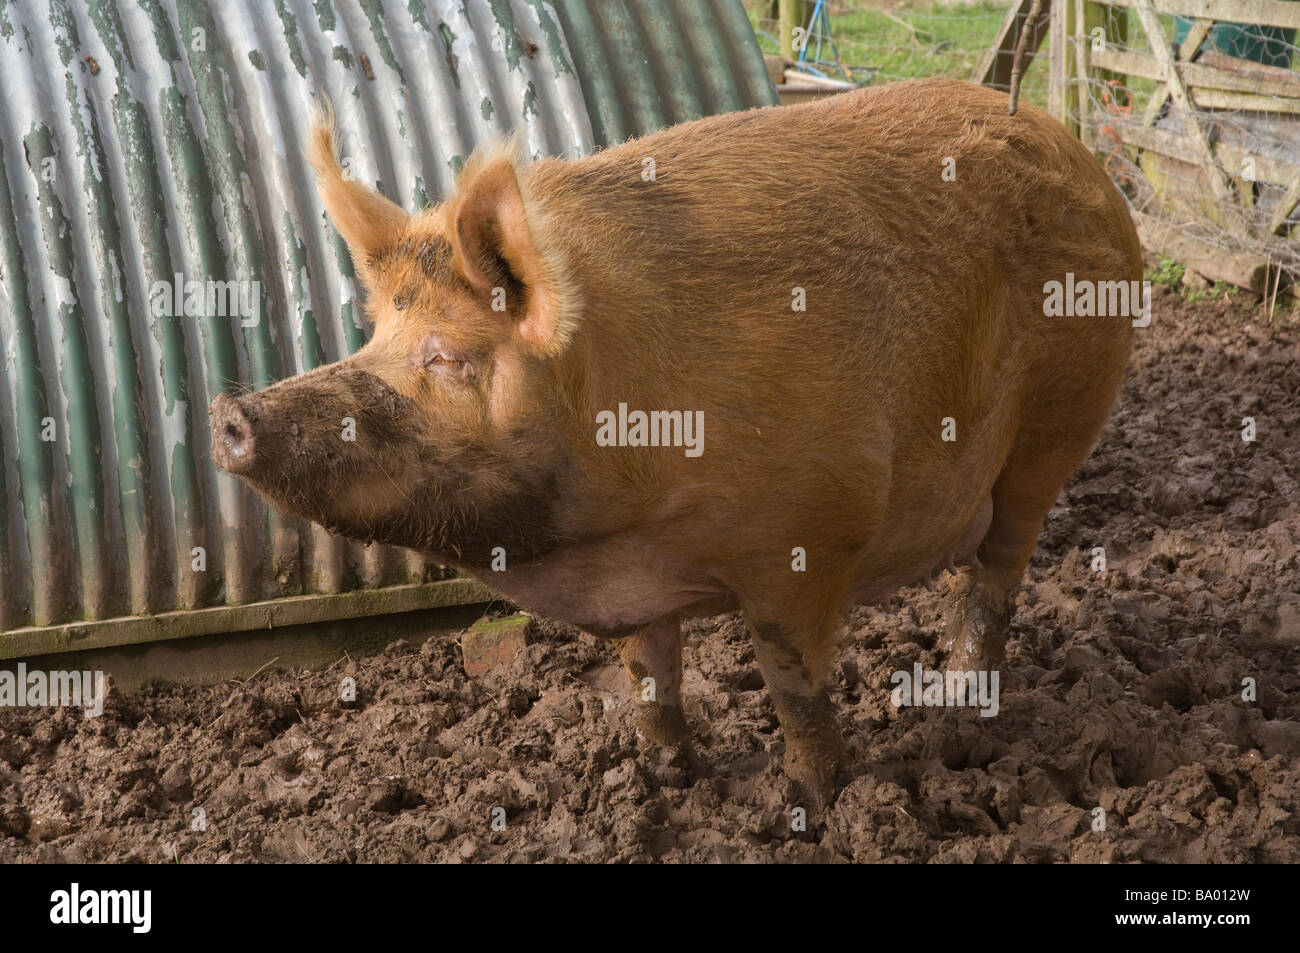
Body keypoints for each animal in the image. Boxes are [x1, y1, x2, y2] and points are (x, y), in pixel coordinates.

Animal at [210, 78, 1139, 809]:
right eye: (374, 339)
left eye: (446, 356)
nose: (229, 411)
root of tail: (1076, 149)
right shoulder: (639, 589)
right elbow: (650, 679)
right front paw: (658, 782)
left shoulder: (807, 536)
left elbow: (792, 683)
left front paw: (810, 800)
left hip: (1058, 422)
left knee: (999, 570)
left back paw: (960, 704)